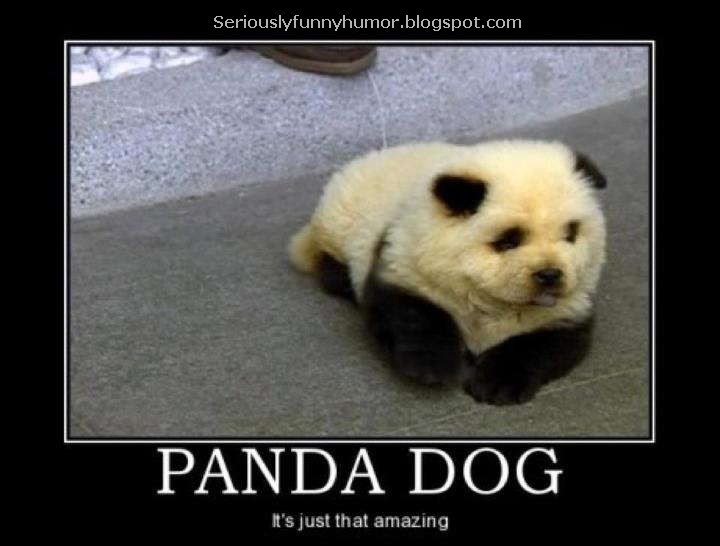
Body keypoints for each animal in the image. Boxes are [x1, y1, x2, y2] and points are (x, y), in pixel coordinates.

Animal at [289, 140, 607, 405]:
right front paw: (433, 368)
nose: (550, 275)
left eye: (571, 233)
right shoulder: (406, 259)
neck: (490, 300)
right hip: (341, 220)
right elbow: (409, 314)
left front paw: (498, 384)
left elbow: (546, 343)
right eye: (508, 241)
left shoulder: (568, 305)